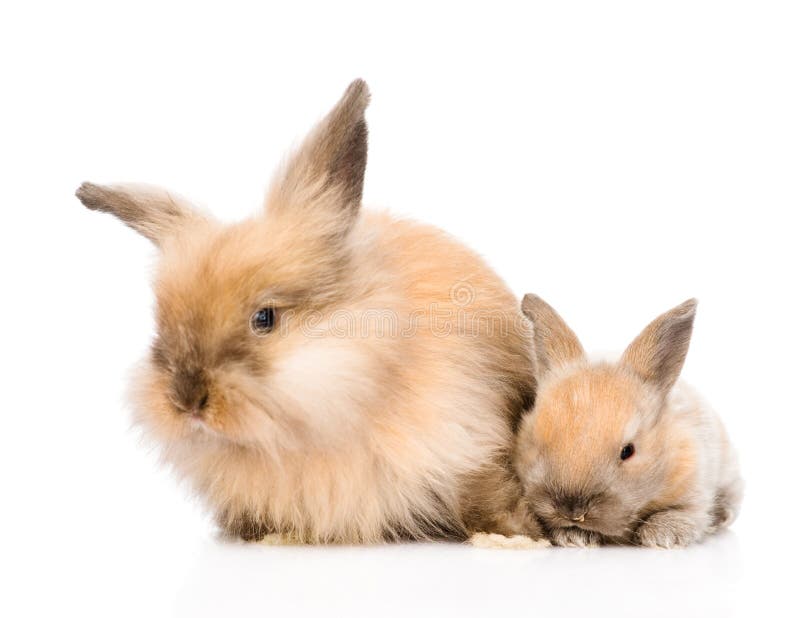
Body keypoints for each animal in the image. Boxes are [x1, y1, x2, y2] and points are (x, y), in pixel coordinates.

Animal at [75, 80, 542, 544]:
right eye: (160, 325)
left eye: (265, 318)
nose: (186, 400)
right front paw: (271, 536)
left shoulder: (466, 441)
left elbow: (481, 495)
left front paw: (509, 537)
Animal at [514, 295, 742, 548]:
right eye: (537, 444)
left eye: (628, 451)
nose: (572, 511)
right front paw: (574, 537)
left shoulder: (695, 488)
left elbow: (687, 512)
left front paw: (662, 536)